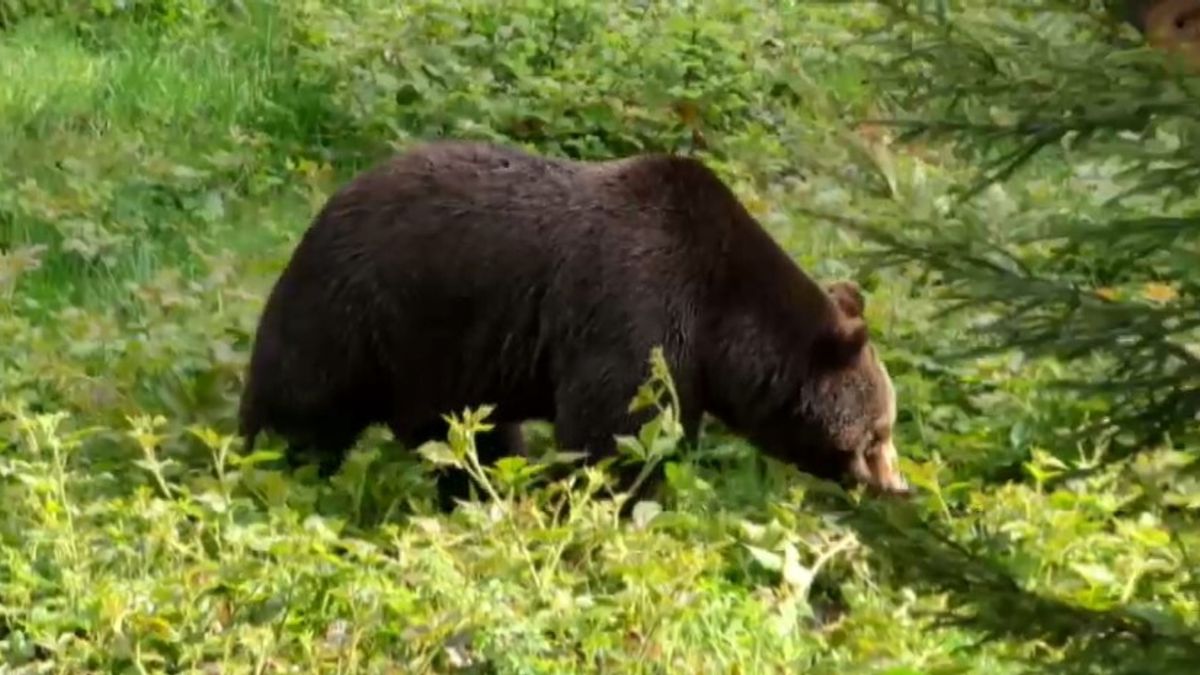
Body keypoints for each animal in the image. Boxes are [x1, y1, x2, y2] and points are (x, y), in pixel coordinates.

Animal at [237, 140, 909, 510]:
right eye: (878, 431)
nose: (898, 484)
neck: (722, 327)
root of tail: (326, 208)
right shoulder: (638, 309)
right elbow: (612, 437)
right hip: (358, 313)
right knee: (300, 412)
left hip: (444, 363)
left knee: (473, 442)